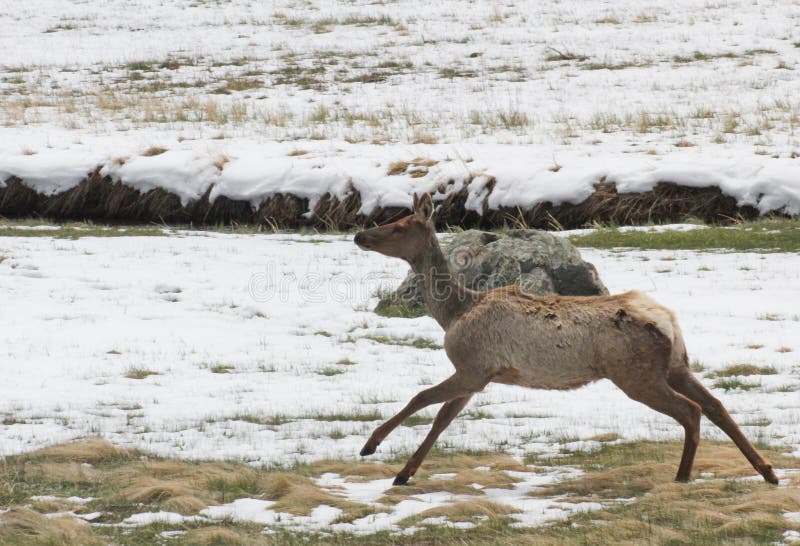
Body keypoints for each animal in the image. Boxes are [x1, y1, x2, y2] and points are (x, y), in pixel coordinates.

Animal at [353, 193, 779, 487]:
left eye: (400, 225)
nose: (359, 235)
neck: (453, 312)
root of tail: (669, 321)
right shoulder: (481, 375)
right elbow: (442, 418)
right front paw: (404, 472)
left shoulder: (473, 366)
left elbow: (421, 398)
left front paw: (372, 446)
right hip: (677, 364)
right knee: (716, 405)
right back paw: (767, 470)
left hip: (635, 373)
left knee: (691, 410)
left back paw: (683, 475)